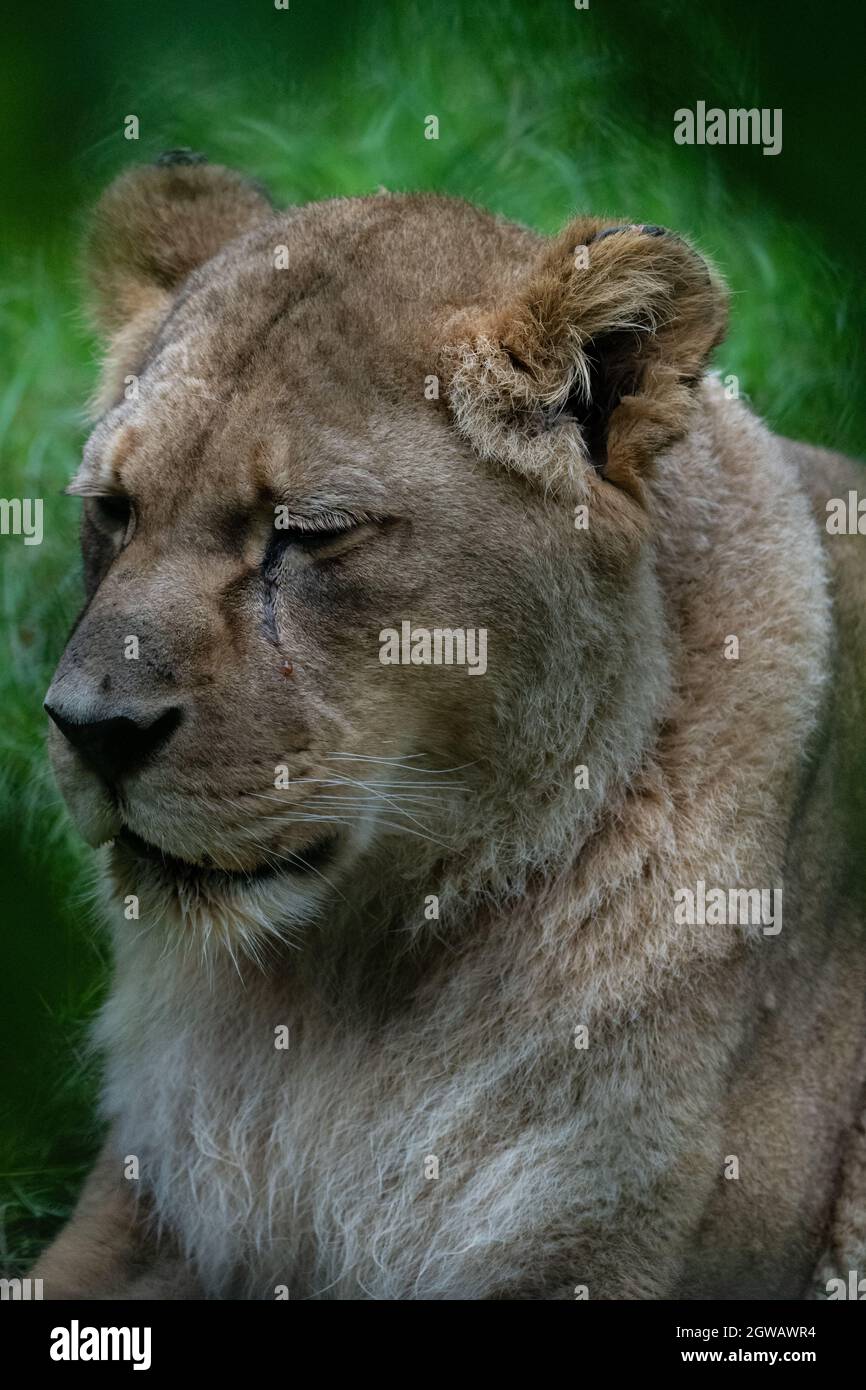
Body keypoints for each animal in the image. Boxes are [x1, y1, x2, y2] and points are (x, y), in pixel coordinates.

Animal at [31, 153, 866, 1299]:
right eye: (114, 509)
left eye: (308, 531)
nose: (89, 729)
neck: (338, 987)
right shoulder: (144, 1199)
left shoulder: (619, 1238)